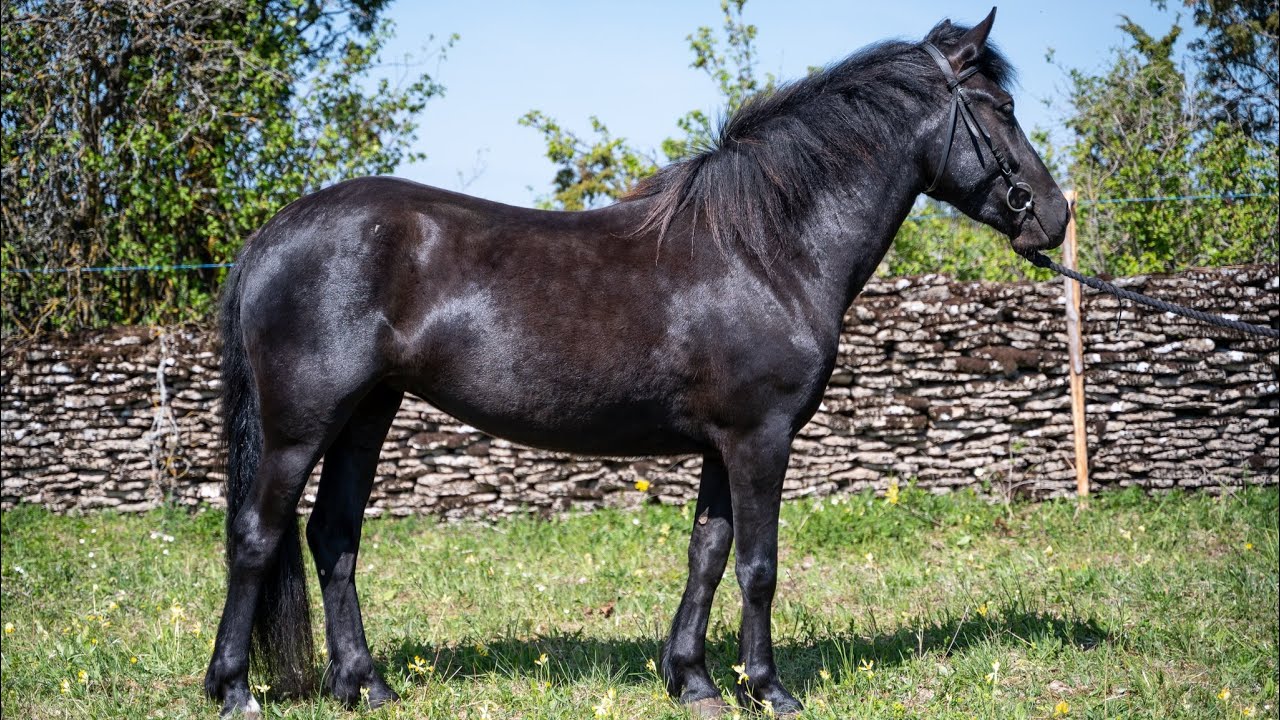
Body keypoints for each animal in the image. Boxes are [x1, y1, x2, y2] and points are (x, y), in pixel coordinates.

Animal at [203, 8, 1068, 717]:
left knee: (333, 537)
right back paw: (235, 690)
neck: (766, 250)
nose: (1054, 217)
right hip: (300, 423)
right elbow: (758, 564)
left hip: (366, 414)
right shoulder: (761, 438)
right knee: (257, 533)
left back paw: (366, 686)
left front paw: (693, 680)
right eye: (1001, 109)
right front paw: (769, 689)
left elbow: (708, 553)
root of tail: (274, 233)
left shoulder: (725, 444)